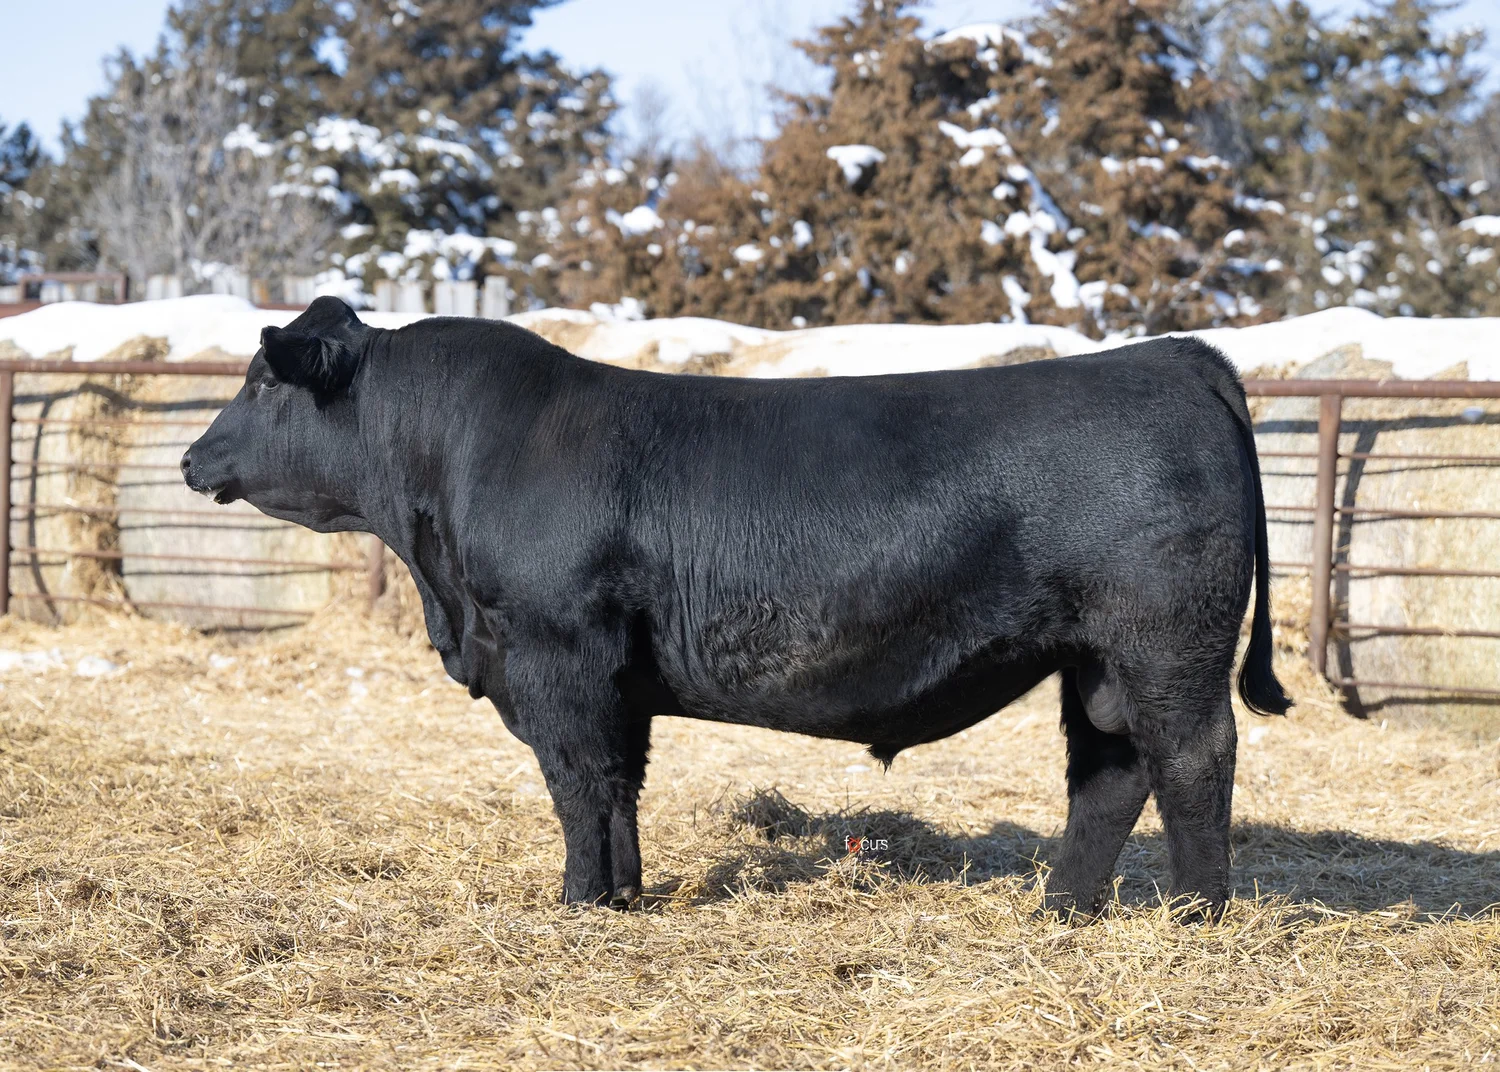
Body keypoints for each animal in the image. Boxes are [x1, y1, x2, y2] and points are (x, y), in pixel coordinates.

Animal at [182, 296, 1290, 918]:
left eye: (263, 381)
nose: (192, 458)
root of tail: (1173, 355)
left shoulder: (558, 653)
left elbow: (578, 782)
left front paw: (577, 903)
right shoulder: (615, 678)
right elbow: (620, 785)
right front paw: (625, 897)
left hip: (1167, 640)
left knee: (1193, 758)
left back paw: (1196, 918)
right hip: (1095, 656)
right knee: (1109, 769)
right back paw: (1063, 912)